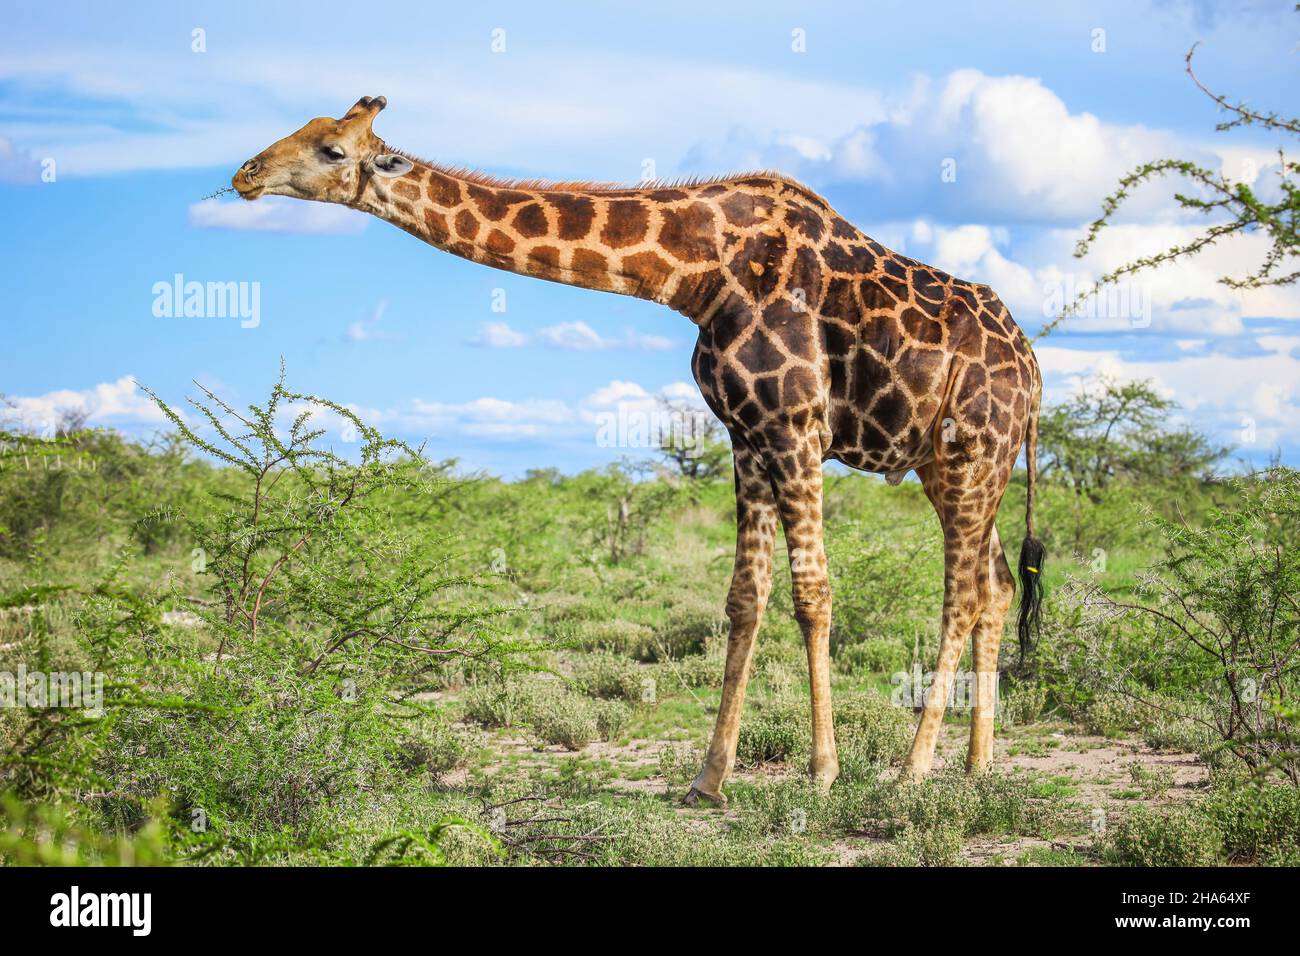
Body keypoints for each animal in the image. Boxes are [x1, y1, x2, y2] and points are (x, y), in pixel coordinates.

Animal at [232, 96, 1046, 800]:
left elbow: (813, 593)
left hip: (972, 453)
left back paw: (913, 770)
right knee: (999, 585)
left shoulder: (796, 425)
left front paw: (822, 773)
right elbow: (745, 597)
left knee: (963, 594)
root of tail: (1034, 372)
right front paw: (709, 780)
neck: (697, 273)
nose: (245, 173)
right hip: (955, 465)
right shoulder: (746, 435)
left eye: (331, 149)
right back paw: (976, 765)